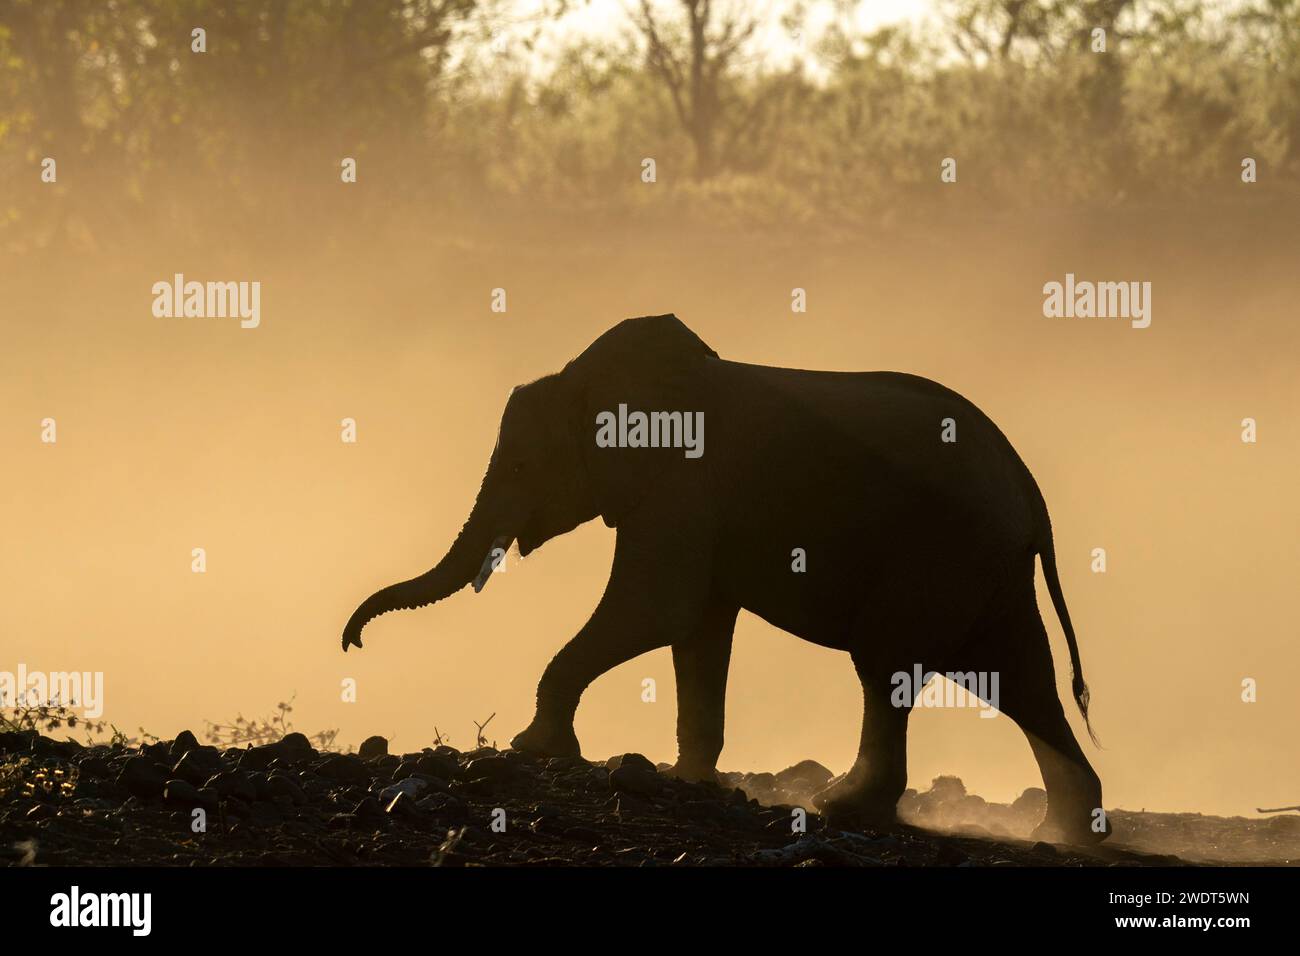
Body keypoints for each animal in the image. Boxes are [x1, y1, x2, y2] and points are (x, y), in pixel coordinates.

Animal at [343, 313, 1108, 844]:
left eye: (525, 467)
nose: (352, 644)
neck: (594, 375)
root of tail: (1029, 490)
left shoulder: (682, 484)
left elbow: (657, 609)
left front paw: (533, 749)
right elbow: (697, 629)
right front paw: (689, 779)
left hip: (937, 556)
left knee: (888, 666)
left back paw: (841, 806)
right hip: (985, 571)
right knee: (1019, 680)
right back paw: (1063, 832)